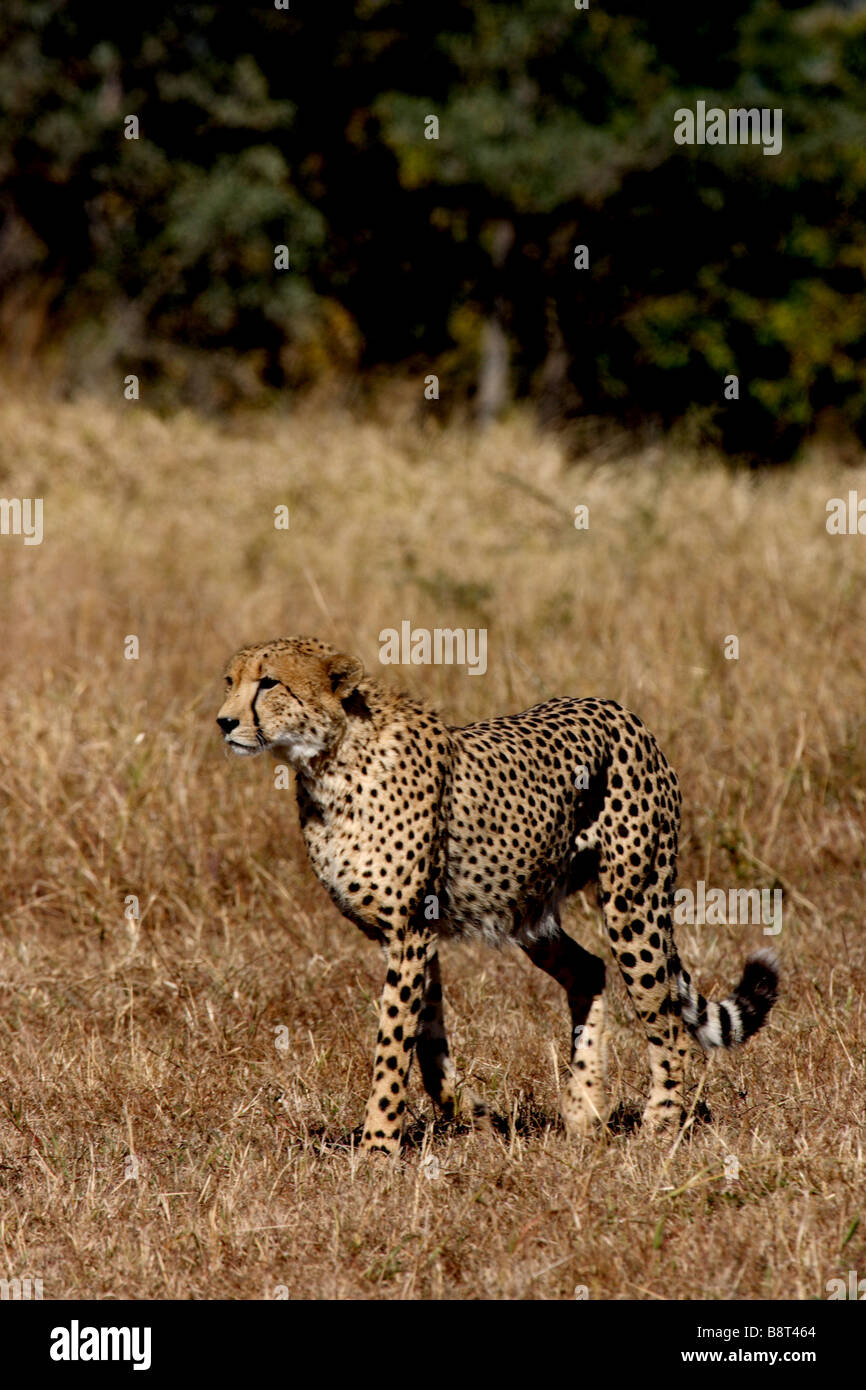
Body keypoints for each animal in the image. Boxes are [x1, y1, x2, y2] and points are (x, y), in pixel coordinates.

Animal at [217, 635, 779, 1156]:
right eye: (230, 680)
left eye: (269, 683)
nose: (223, 721)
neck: (331, 761)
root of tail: (619, 710)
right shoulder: (410, 933)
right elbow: (427, 1046)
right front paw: (474, 1116)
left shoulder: (410, 929)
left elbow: (393, 1043)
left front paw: (377, 1149)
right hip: (527, 906)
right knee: (589, 970)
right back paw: (584, 1108)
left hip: (633, 902)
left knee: (665, 1019)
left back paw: (658, 1125)